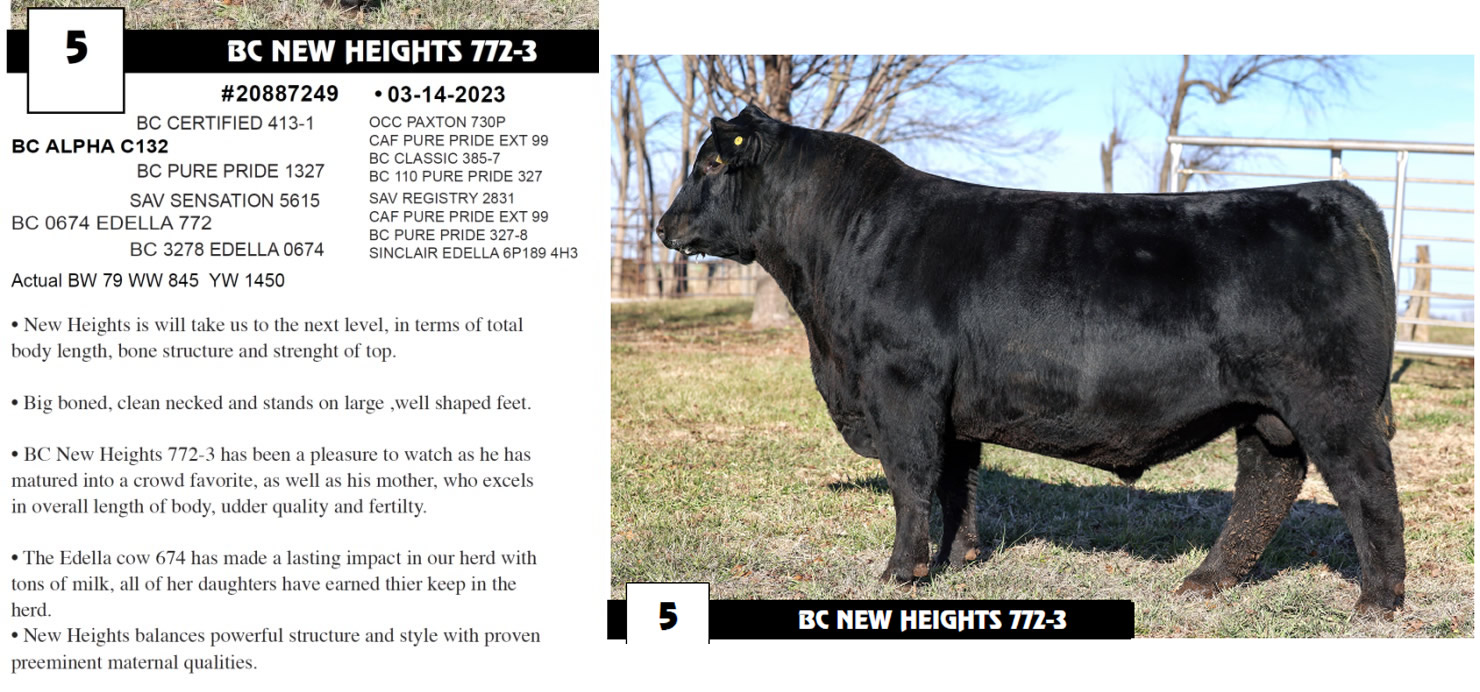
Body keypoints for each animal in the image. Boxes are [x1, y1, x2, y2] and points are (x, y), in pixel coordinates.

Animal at [656, 105, 1405, 617]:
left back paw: (1379, 599)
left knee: (1367, 485)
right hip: (1265, 411)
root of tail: (1335, 195)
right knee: (1266, 485)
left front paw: (901, 572)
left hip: (1330, 402)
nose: (665, 225)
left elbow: (911, 479)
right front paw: (957, 561)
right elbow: (957, 482)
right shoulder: (951, 406)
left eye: (713, 164)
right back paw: (1204, 582)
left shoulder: (901, 386)